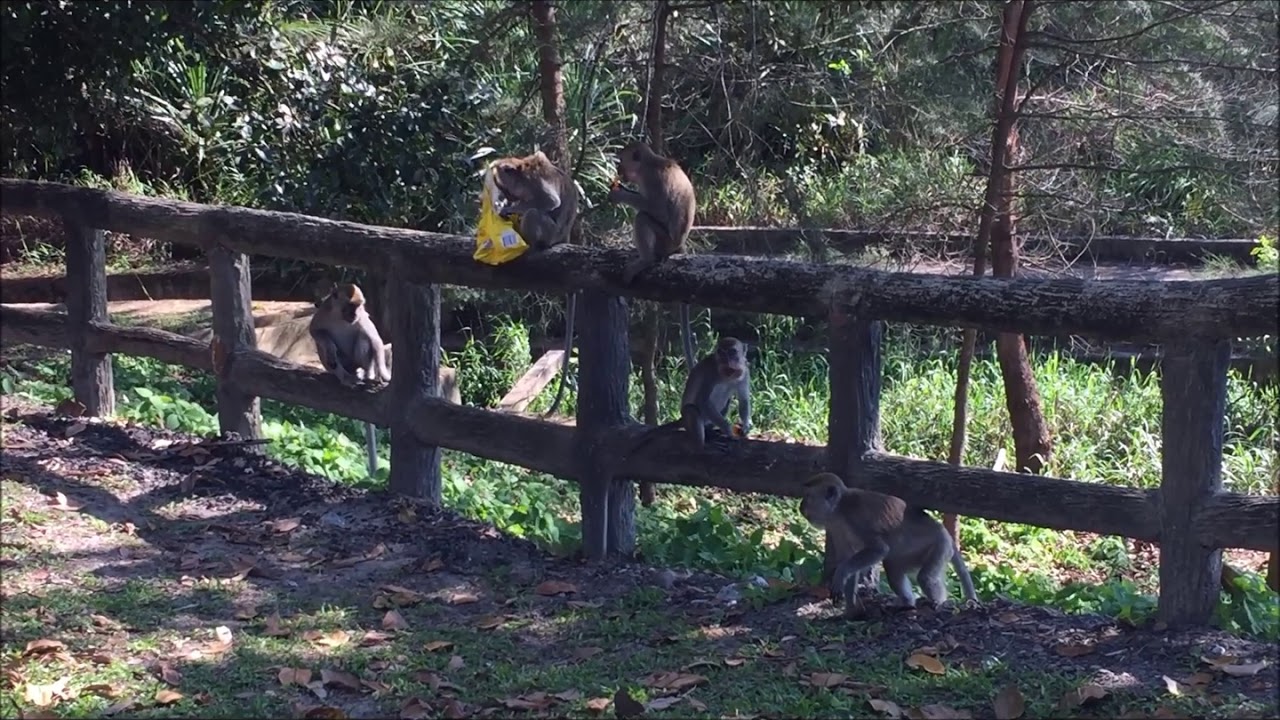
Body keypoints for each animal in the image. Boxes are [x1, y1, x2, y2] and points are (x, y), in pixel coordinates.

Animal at [487, 151, 581, 417]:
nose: (508, 198)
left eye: (502, 186)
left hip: (550, 233)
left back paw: (531, 243)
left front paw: (513, 207)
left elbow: (550, 203)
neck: (522, 172)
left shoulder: (536, 183)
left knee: (534, 215)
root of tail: (562, 237)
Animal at [607, 140, 698, 370]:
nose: (619, 169)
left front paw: (620, 194)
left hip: (664, 240)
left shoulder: (652, 179)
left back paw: (645, 260)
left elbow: (657, 210)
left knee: (643, 217)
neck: (647, 164)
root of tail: (678, 245)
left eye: (622, 161)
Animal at [799, 473, 978, 619]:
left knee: (925, 577)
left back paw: (938, 604)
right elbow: (848, 559)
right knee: (893, 567)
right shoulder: (834, 527)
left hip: (940, 546)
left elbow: (879, 549)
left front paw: (840, 574)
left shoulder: (856, 517)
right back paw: (907, 603)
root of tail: (945, 532)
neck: (839, 508)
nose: (801, 506)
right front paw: (851, 612)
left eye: (808, 496)